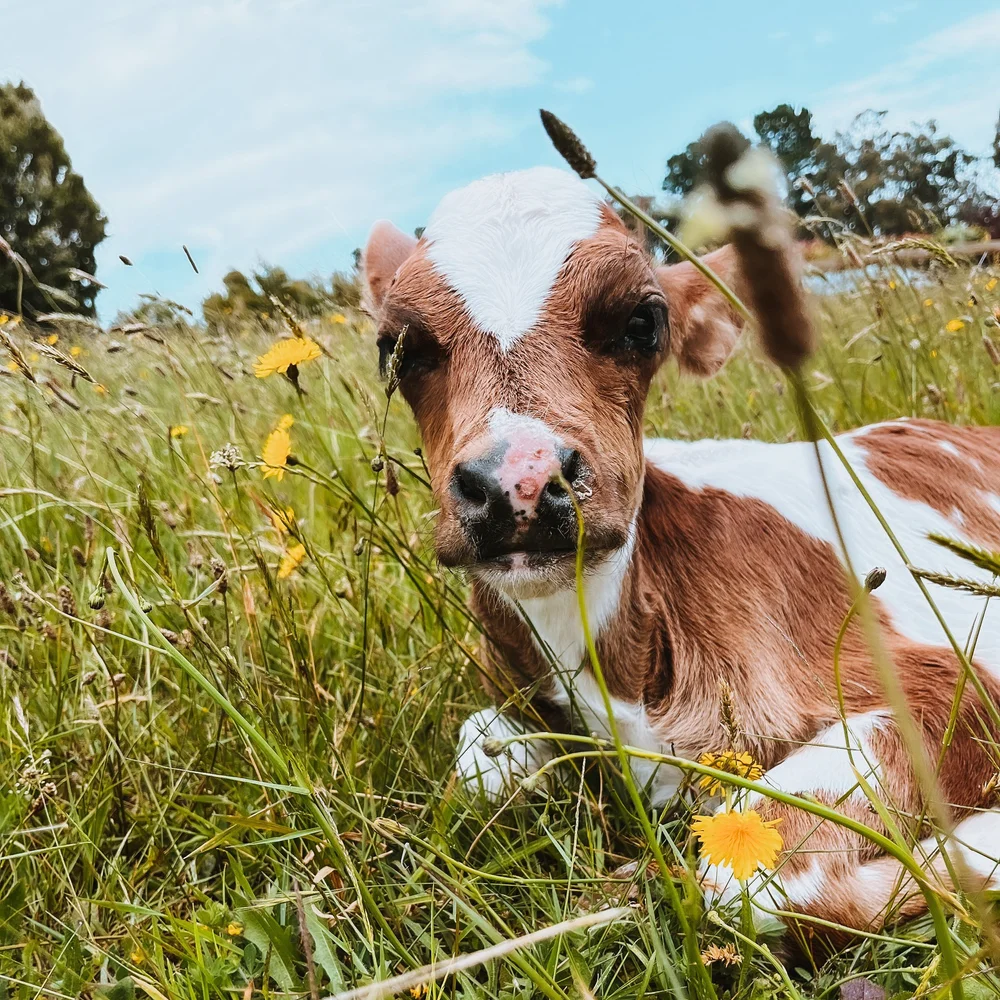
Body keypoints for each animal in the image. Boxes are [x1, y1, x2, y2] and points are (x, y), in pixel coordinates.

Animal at [362, 165, 1000, 939]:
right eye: (397, 348)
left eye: (642, 323)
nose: (519, 482)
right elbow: (482, 758)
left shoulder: (958, 675)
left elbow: (743, 871)